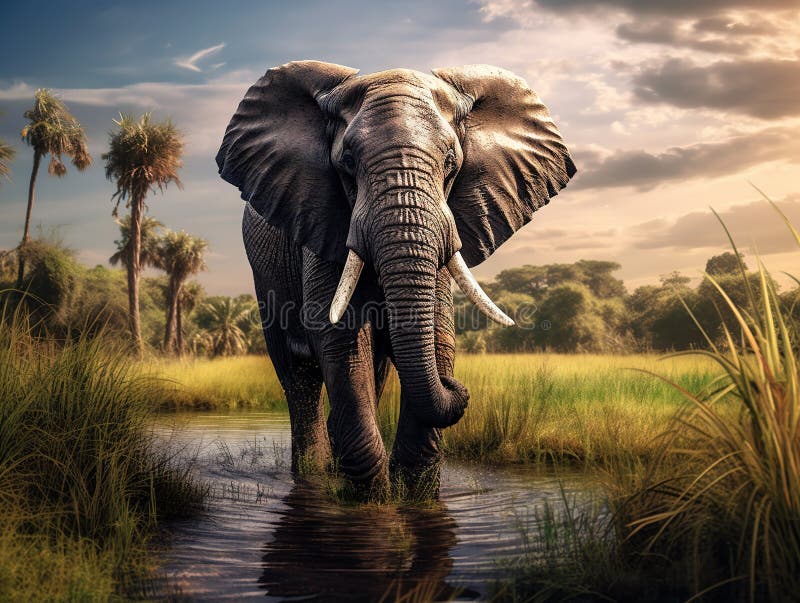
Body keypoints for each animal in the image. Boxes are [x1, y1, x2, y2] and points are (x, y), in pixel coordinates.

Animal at [216, 61, 575, 499]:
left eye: (451, 162)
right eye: (347, 162)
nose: (458, 387)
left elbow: (437, 334)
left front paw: (412, 492)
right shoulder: (321, 219)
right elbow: (341, 339)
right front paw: (373, 498)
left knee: (376, 371)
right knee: (298, 375)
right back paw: (315, 473)